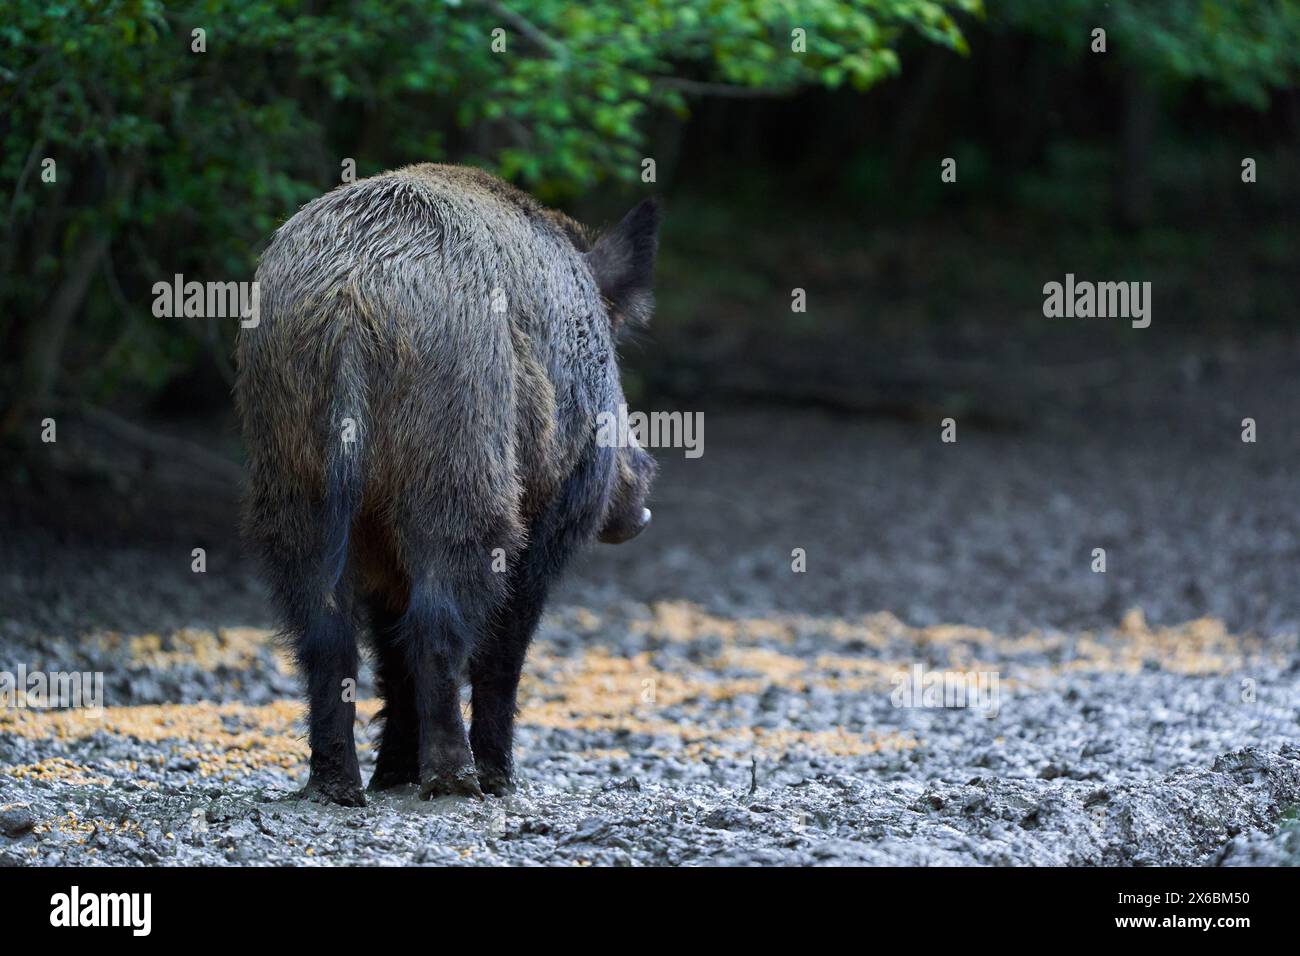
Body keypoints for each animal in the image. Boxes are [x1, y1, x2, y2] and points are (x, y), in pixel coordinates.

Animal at [235, 164, 658, 805]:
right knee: (439, 621)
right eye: (615, 367)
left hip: (287, 475)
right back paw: (458, 783)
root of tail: (350, 304)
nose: (642, 503)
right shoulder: (558, 514)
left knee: (324, 631)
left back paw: (340, 789)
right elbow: (503, 648)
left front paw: (392, 779)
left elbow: (389, 653)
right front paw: (499, 781)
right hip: (459, 465)